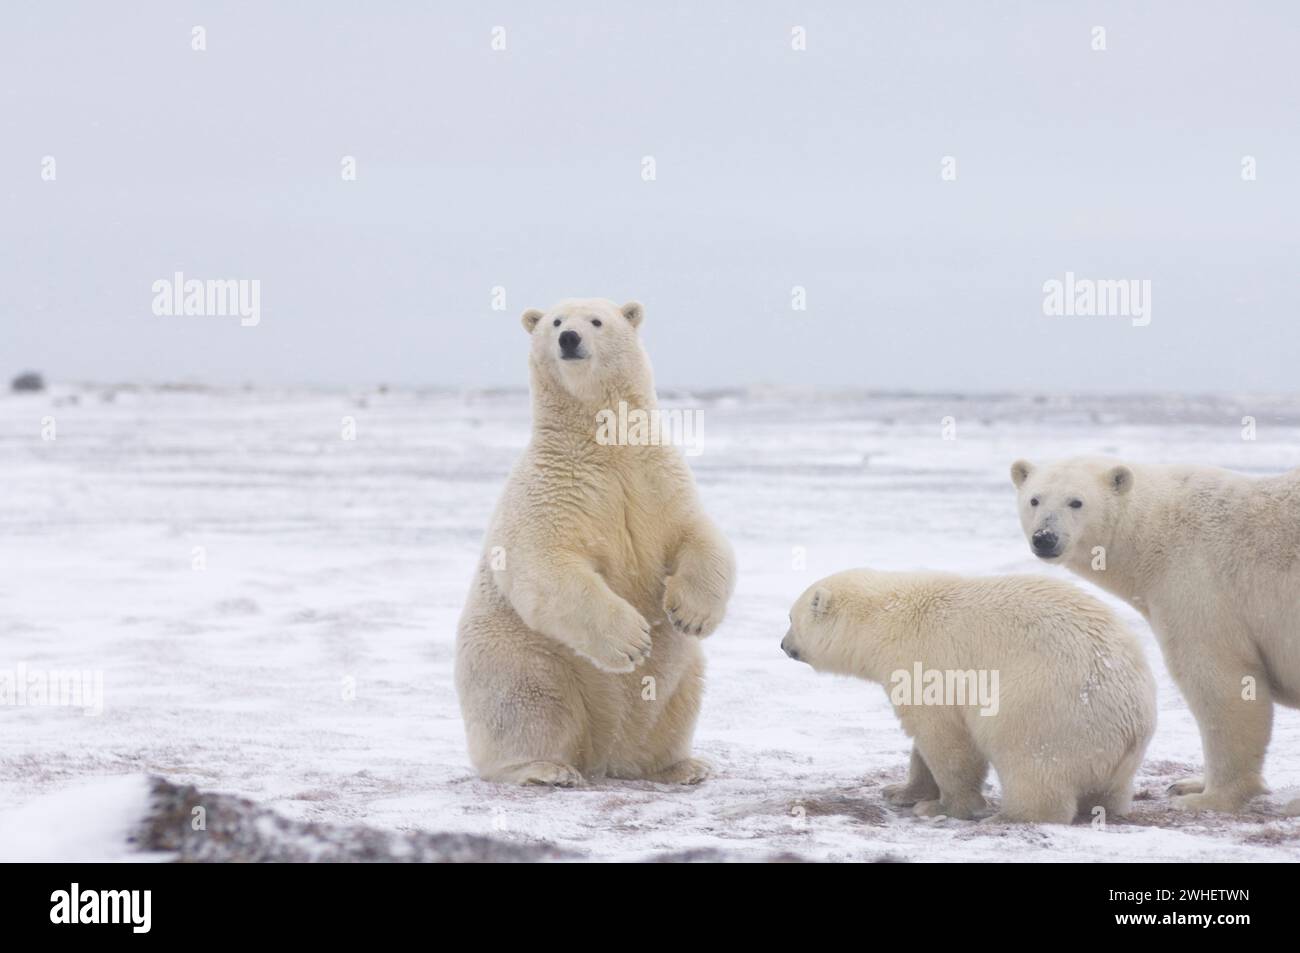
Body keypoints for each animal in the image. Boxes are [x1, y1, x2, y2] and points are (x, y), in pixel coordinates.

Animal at [455, 298, 736, 786]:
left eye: (597, 321)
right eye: (554, 322)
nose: (569, 339)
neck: (605, 446)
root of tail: (606, 754)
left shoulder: (657, 477)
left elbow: (697, 535)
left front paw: (691, 615)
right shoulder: (552, 491)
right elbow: (546, 565)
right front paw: (632, 641)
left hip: (681, 679)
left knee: (678, 702)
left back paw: (681, 766)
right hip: (519, 653)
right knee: (527, 705)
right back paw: (546, 768)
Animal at [781, 569, 1156, 823]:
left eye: (790, 618)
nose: (783, 645)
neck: (886, 619)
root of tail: (1130, 727)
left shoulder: (924, 663)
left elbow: (945, 739)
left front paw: (941, 806)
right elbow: (923, 746)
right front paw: (899, 791)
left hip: (1048, 709)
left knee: (1029, 761)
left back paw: (1007, 816)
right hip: (1118, 758)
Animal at [1012, 456, 1300, 814]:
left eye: (1076, 501)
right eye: (1034, 499)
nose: (1045, 538)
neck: (1156, 531)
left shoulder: (1197, 583)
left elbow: (1222, 682)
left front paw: (1205, 797)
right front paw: (1188, 783)